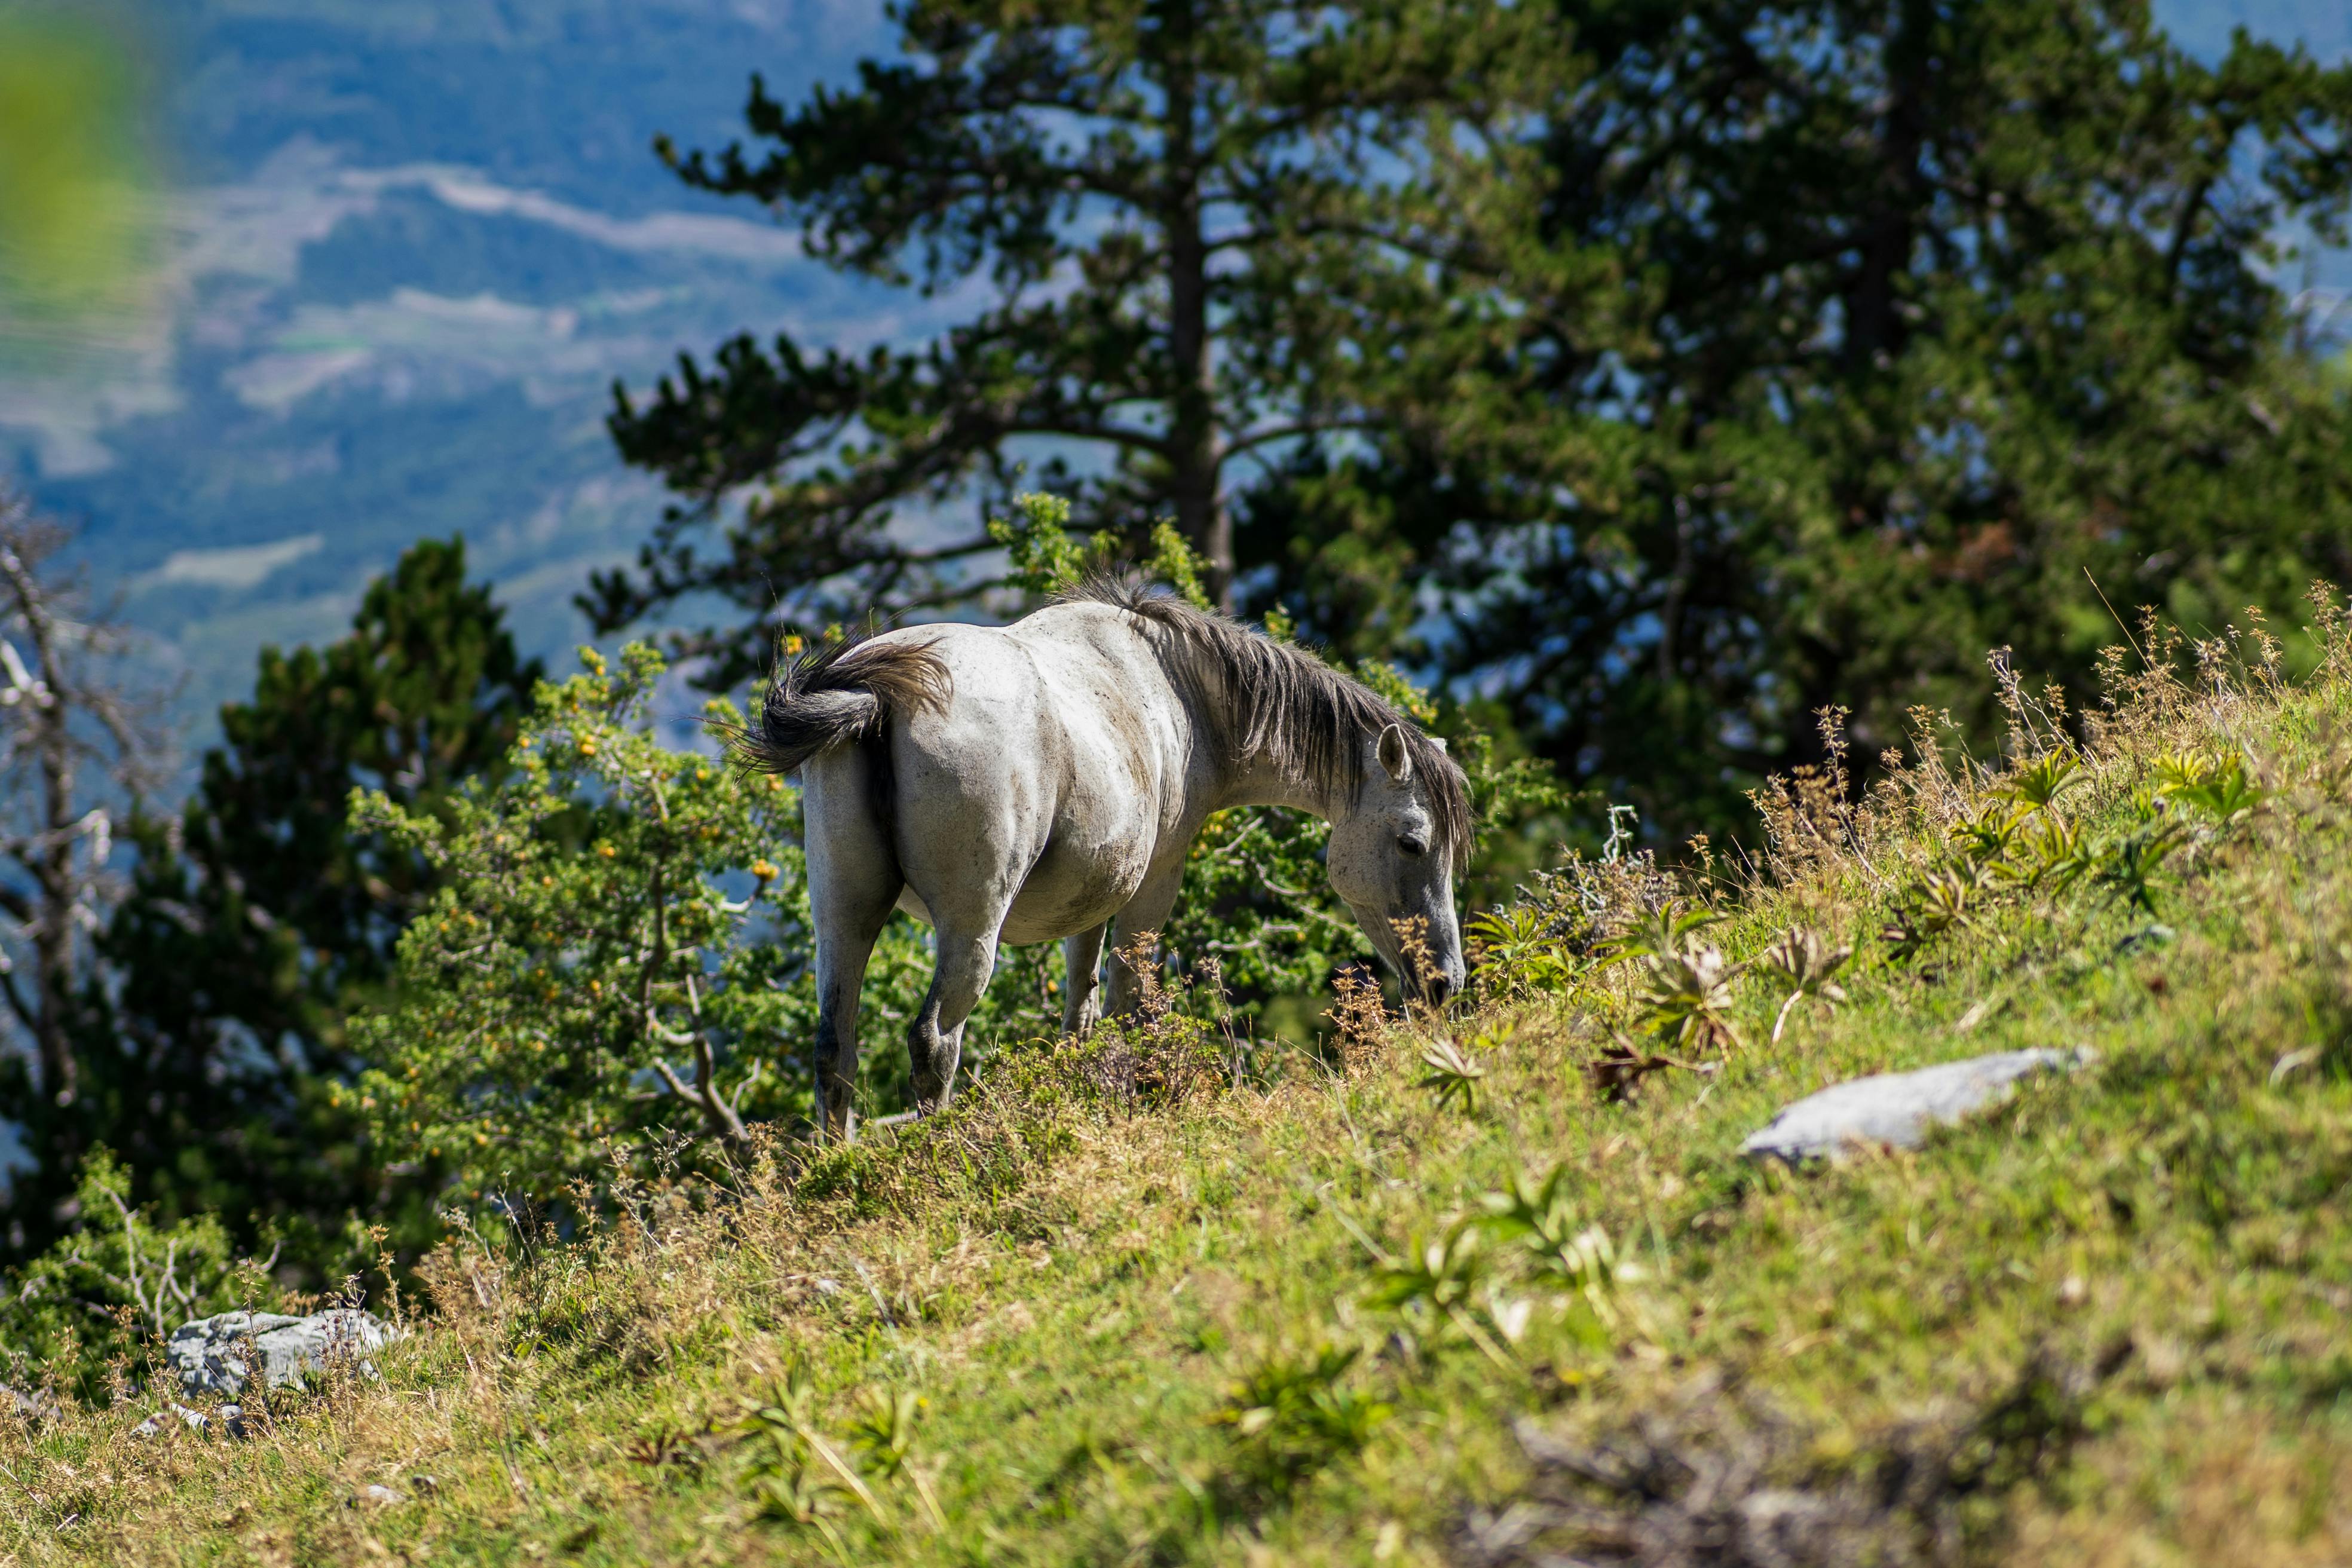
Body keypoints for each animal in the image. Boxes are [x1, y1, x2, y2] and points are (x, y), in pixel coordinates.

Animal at [740, 579, 1472, 1140]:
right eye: (1412, 842)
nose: (1446, 983)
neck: (1180, 691)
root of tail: (882, 694)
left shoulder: (1091, 900)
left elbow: (1081, 1009)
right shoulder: (1152, 884)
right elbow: (1128, 1003)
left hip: (845, 913)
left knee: (835, 1047)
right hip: (972, 926)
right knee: (935, 1039)